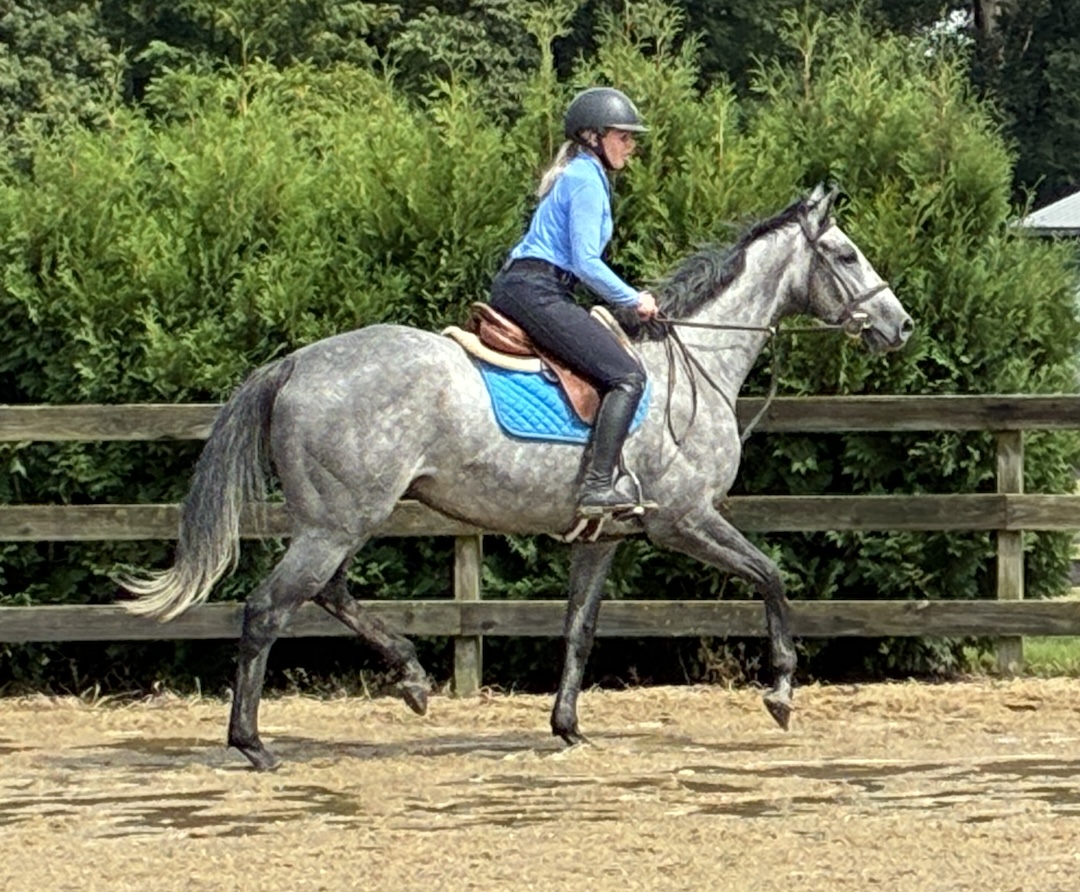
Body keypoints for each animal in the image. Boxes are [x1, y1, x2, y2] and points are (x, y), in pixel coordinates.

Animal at [122, 184, 913, 771]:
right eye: (845, 253)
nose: (900, 326)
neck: (693, 367)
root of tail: (294, 363)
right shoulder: (683, 520)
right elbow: (771, 576)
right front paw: (780, 691)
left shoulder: (604, 537)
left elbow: (580, 629)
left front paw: (567, 726)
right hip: (338, 522)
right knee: (268, 609)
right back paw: (253, 744)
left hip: (338, 521)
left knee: (326, 594)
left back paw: (412, 679)